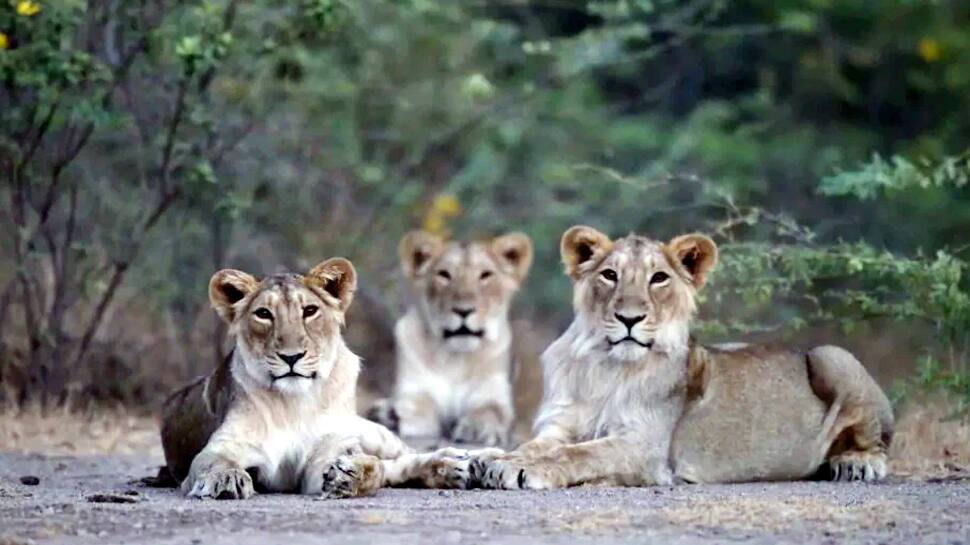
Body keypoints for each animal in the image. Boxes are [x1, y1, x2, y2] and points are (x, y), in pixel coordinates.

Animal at [160, 258, 473, 499]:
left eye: (309, 311)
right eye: (263, 314)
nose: (291, 357)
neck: (294, 403)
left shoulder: (326, 452)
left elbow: (374, 467)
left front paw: (351, 474)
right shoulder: (223, 446)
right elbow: (213, 462)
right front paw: (225, 479)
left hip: (368, 430)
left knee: (402, 456)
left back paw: (463, 462)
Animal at [366, 231, 533, 446]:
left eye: (485, 275)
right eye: (444, 274)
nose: (464, 310)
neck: (456, 359)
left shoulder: (493, 396)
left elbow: (490, 412)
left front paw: (476, 429)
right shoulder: (415, 389)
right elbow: (421, 407)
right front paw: (394, 416)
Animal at [477, 226, 894, 489]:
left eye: (658, 278)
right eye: (610, 275)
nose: (630, 318)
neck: (607, 367)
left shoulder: (645, 446)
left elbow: (577, 454)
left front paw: (518, 468)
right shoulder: (559, 425)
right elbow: (541, 446)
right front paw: (494, 458)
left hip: (832, 356)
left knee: (878, 442)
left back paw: (855, 463)